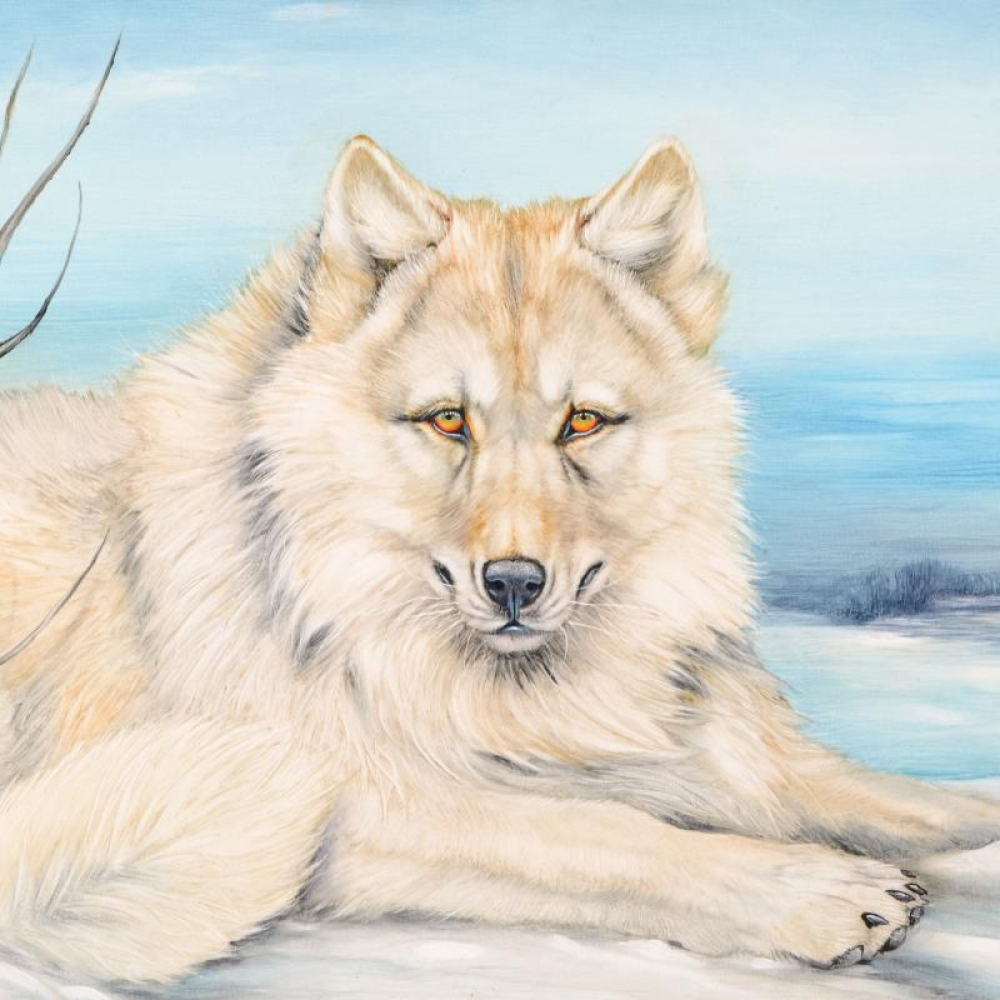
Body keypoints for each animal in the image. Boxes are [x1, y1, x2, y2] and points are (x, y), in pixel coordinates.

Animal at [1, 133, 998, 986]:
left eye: (583, 421)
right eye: (449, 420)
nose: (514, 582)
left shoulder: (741, 763)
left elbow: (905, 801)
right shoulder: (369, 807)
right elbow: (611, 835)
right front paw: (819, 892)